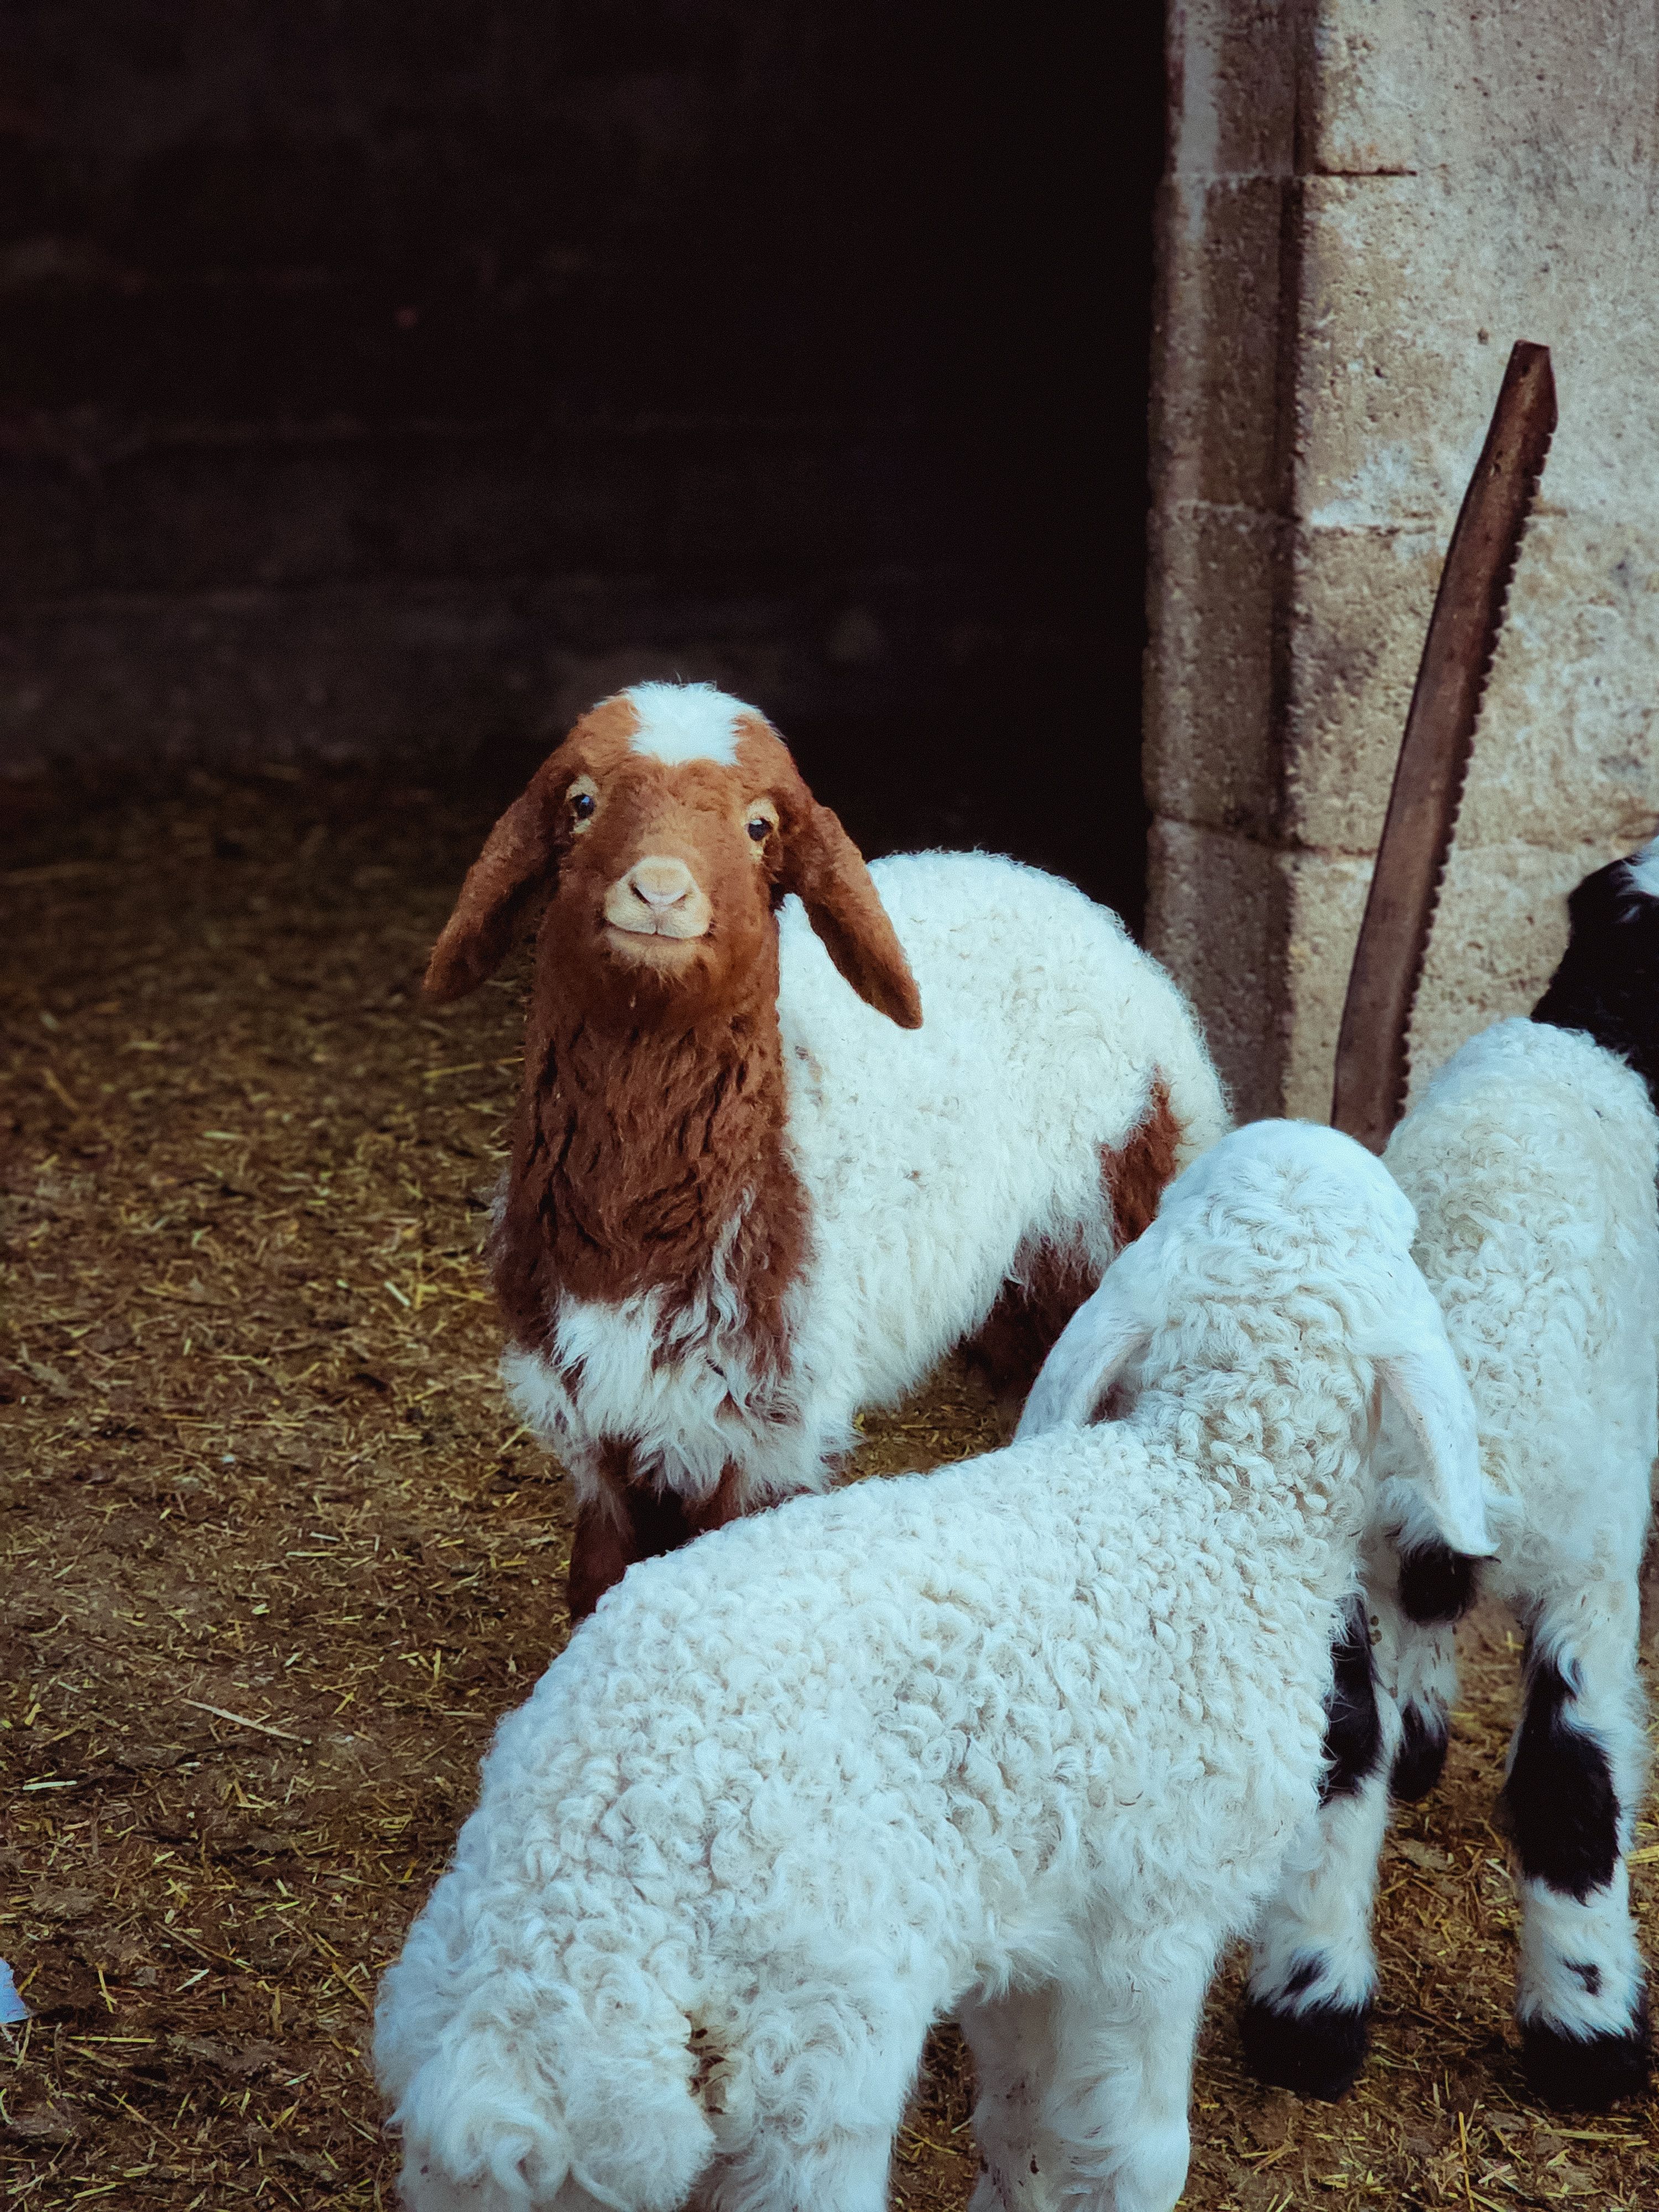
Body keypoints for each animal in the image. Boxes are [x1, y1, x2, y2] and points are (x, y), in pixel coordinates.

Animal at [373, 1120, 1493, 2212]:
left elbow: (1020, 2120)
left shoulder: (1025, 1931)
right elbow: (1137, 2152)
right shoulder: (1152, 1922)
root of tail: (561, 1955)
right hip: (817, 2053)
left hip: (490, 2098)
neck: (1210, 1494)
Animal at [424, 680, 1226, 1618]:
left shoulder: (769, 1424)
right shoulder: (602, 1415)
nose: (659, 892)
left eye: (759, 826)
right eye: (581, 803)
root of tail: (1054, 893)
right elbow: (598, 1582)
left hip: (1120, 1213)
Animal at [1242, 835, 1659, 2112]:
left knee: (1337, 1764)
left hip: (1349, 1557)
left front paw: (1425, 1736)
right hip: (1587, 1570)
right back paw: (1589, 2037)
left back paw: (1307, 2019)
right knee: (1575, 1791)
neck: (1603, 1029)